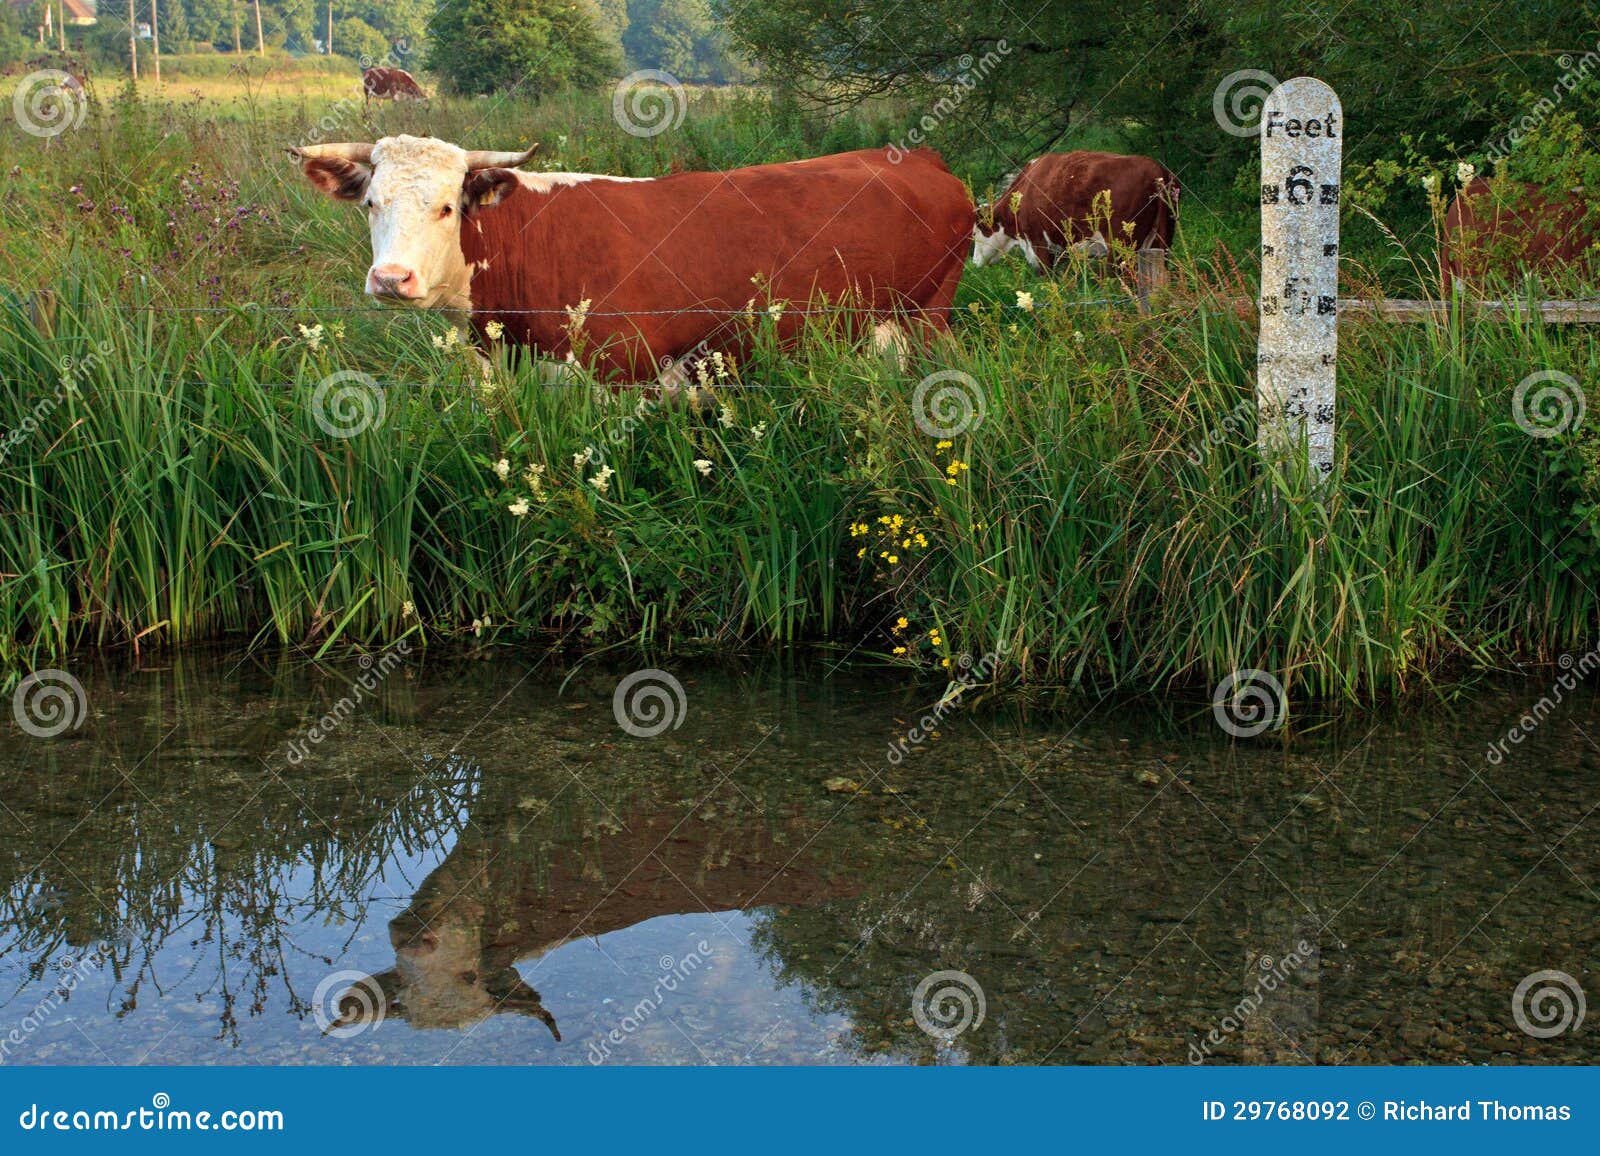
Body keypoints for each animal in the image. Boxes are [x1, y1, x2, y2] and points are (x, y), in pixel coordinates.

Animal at [289, 135, 974, 382]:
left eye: (448, 208)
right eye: (370, 203)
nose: (391, 279)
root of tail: (918, 157)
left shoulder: (623, 377)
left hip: (924, 321)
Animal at [971, 150, 1180, 271]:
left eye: (973, 234)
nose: (974, 263)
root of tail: (1156, 169)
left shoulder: (1039, 243)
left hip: (1121, 244)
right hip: (1161, 242)